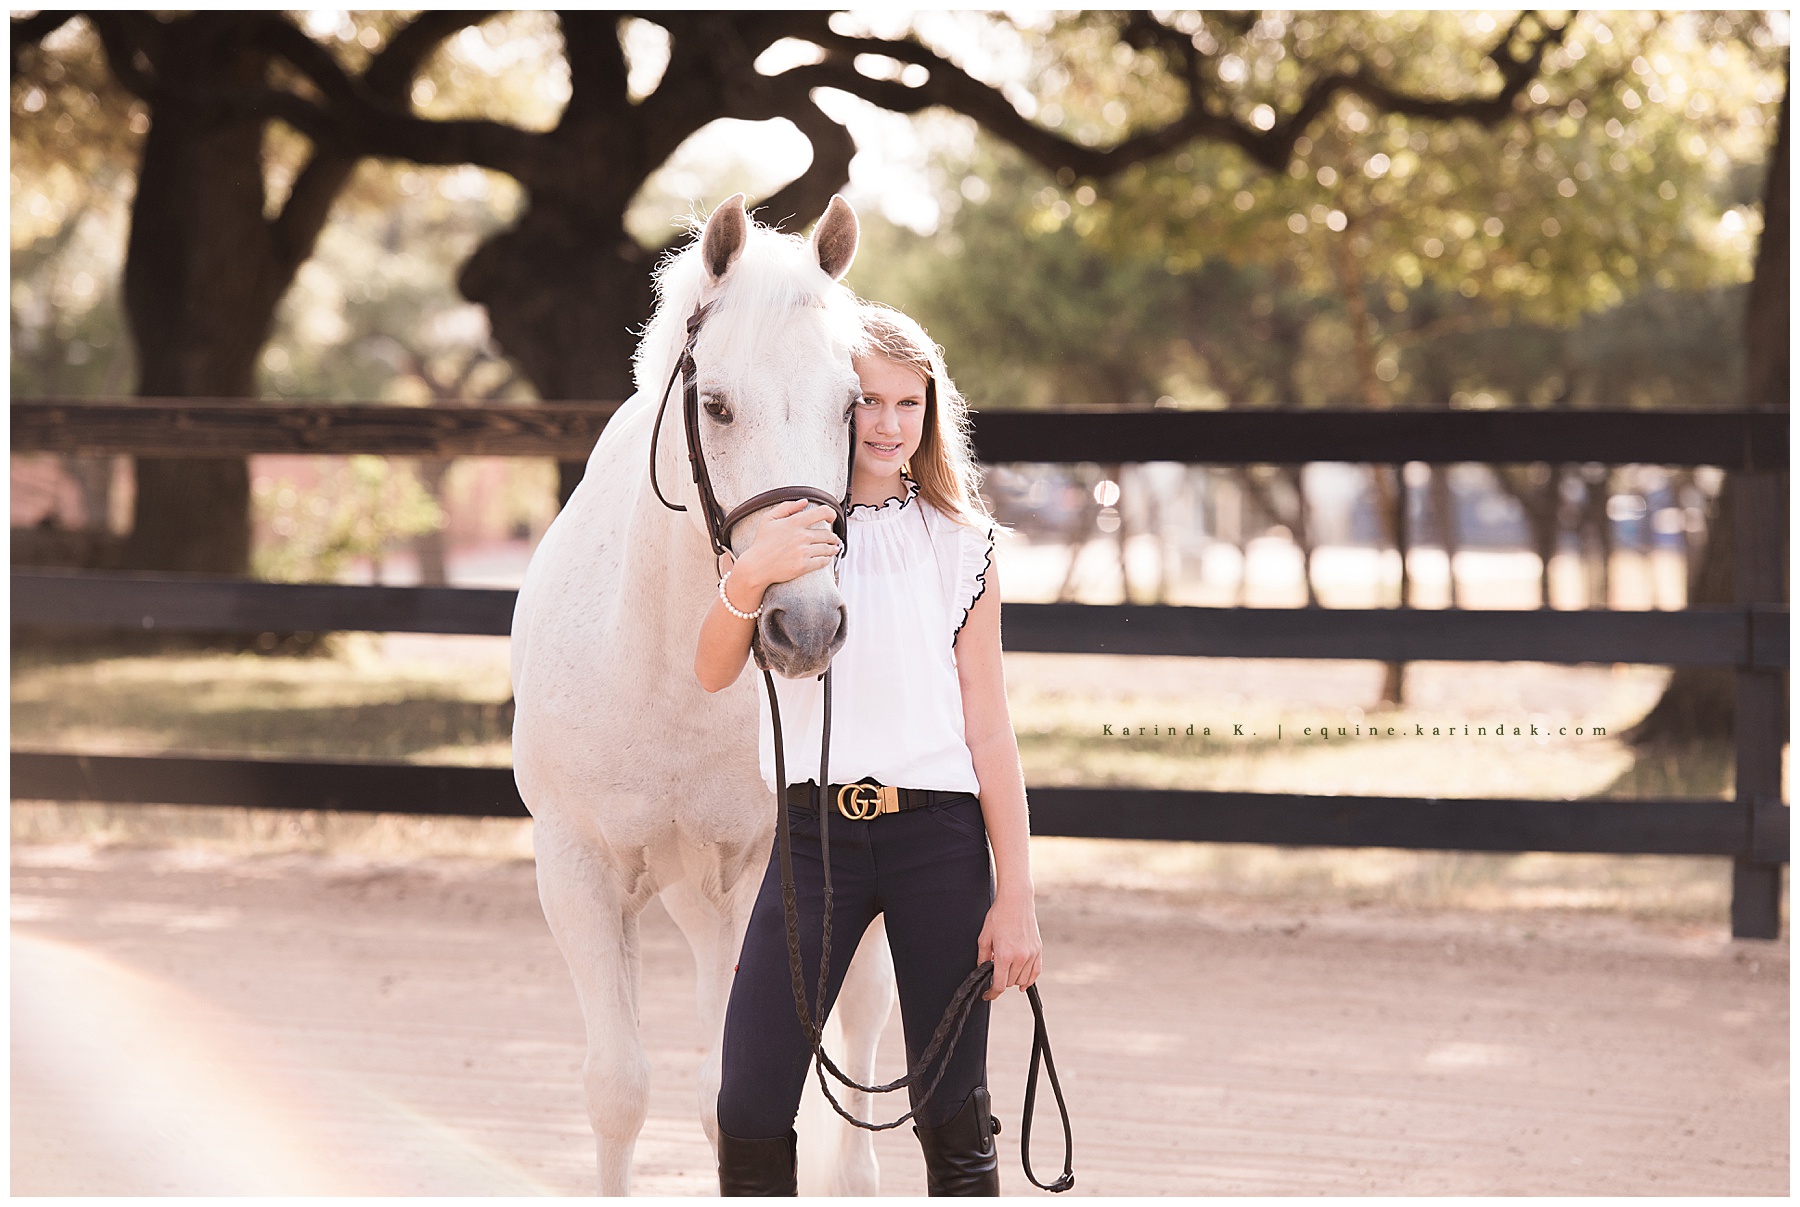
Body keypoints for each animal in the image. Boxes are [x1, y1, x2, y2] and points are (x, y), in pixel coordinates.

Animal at [509, 193, 899, 1196]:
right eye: (716, 404)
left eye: (853, 404)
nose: (806, 627)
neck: (672, 679)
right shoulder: (575, 872)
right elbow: (622, 1090)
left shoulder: (778, 879)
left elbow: (743, 1097)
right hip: (697, 899)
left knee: (863, 1037)